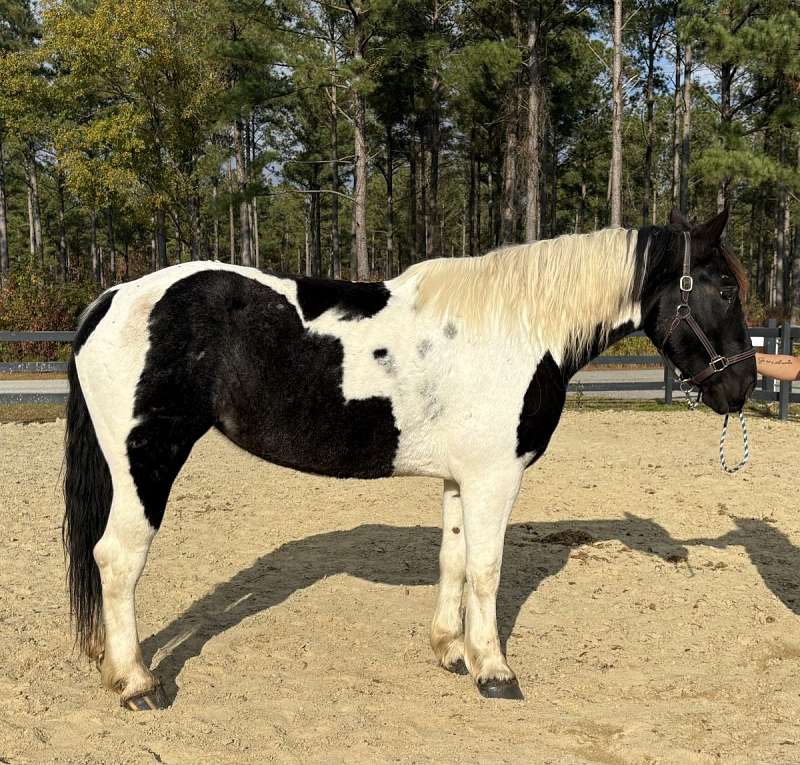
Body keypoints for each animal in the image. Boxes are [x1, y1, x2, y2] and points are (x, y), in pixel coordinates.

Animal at [63, 207, 756, 710]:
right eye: (724, 288)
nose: (742, 386)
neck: (519, 329)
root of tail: (115, 296)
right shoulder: (494, 478)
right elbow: (487, 570)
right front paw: (494, 672)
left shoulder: (460, 479)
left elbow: (453, 560)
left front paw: (452, 652)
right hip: (147, 461)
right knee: (117, 559)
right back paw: (136, 684)